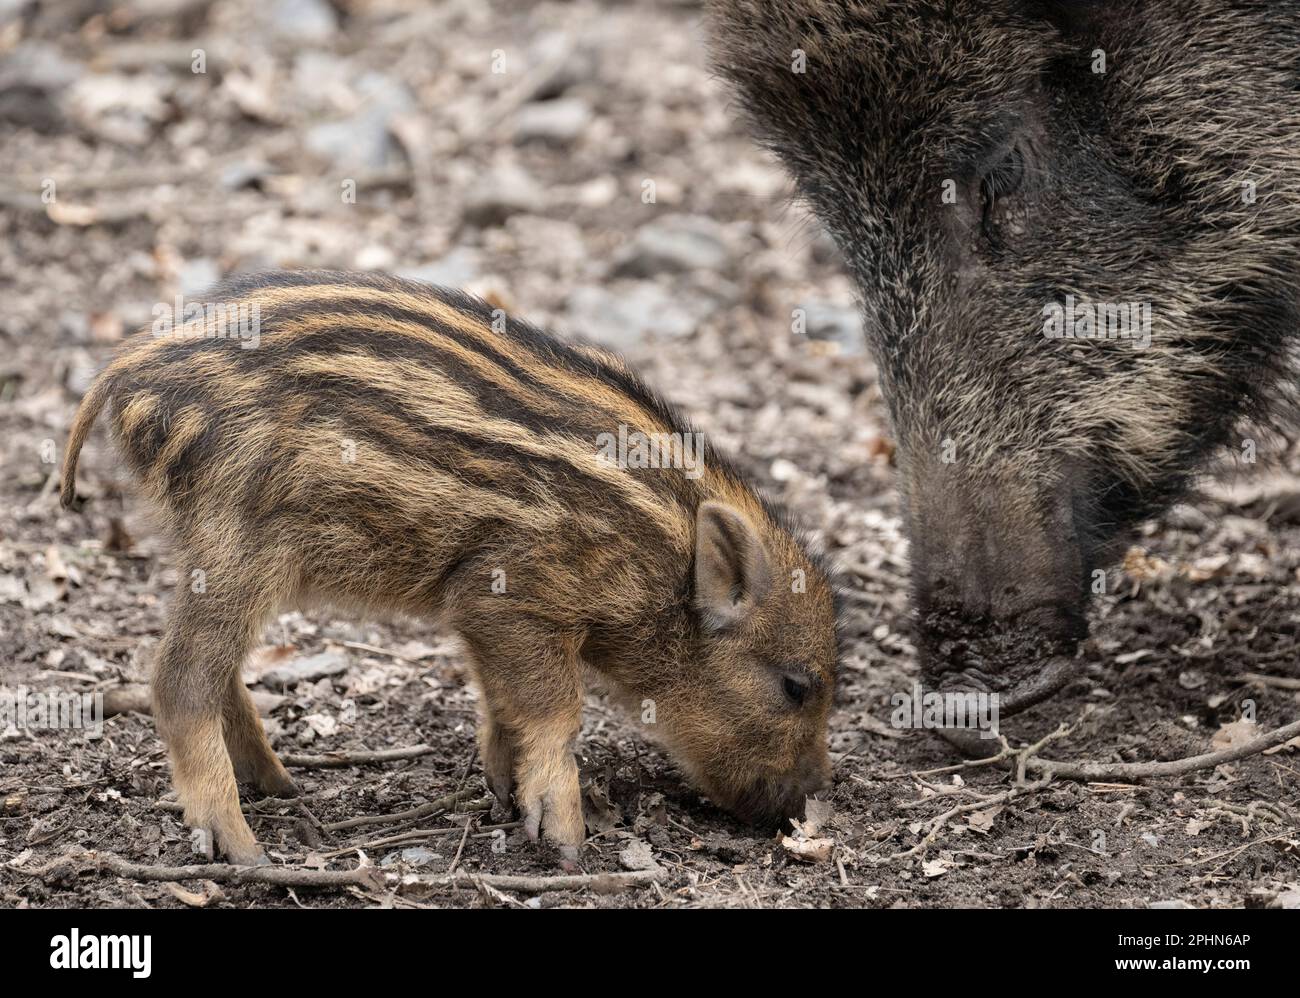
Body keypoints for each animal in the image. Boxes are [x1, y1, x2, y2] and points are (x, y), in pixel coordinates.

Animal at [61, 271, 837, 865]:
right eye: (796, 686)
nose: (800, 809)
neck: (663, 559)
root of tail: (125, 373)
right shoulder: (512, 592)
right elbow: (556, 710)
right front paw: (564, 841)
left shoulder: (482, 608)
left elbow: (501, 700)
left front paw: (503, 792)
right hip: (239, 541)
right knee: (180, 677)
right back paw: (243, 847)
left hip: (210, 547)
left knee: (216, 670)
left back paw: (281, 786)